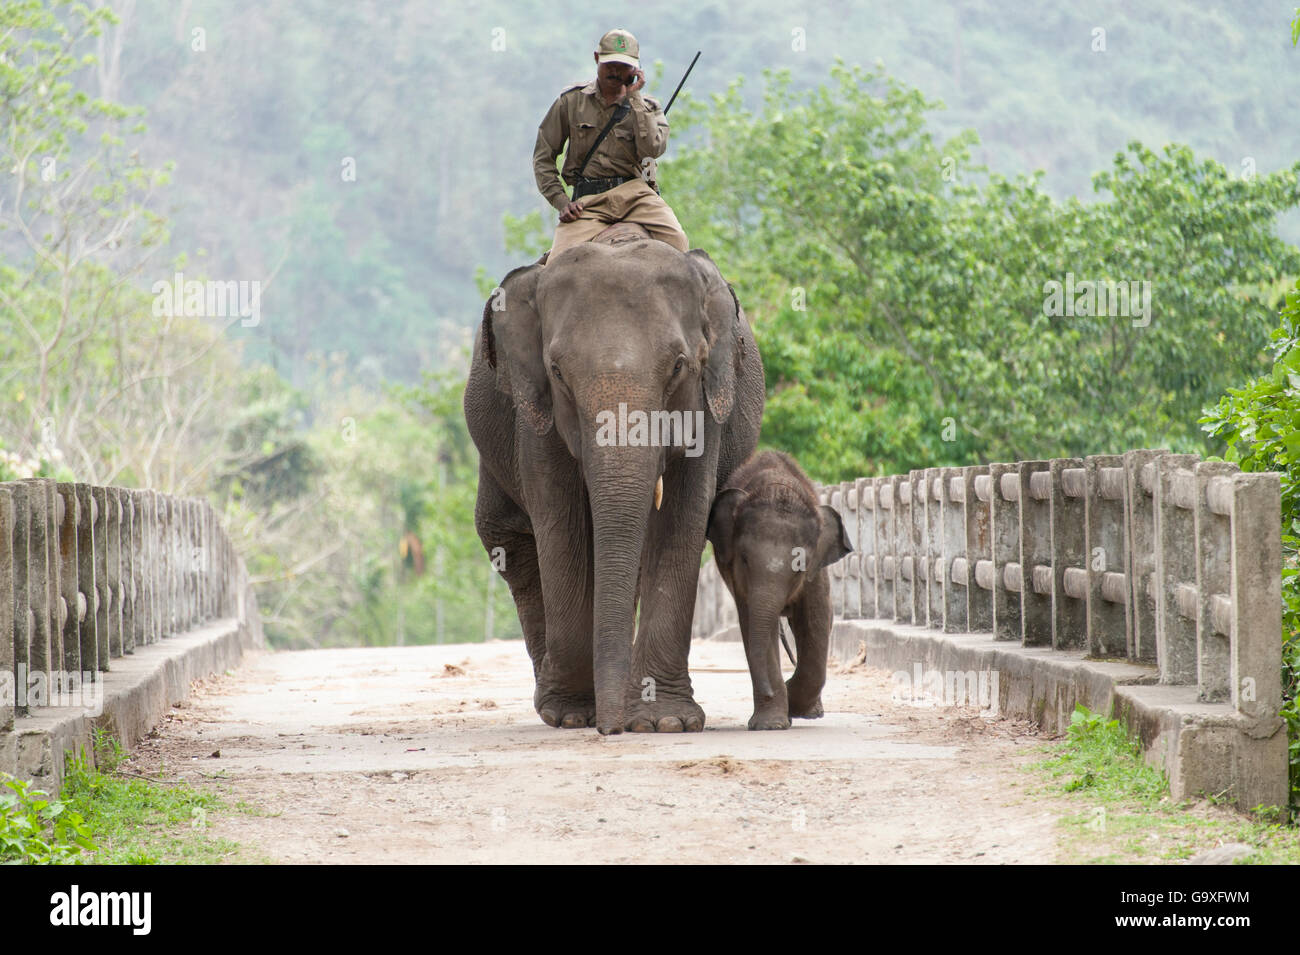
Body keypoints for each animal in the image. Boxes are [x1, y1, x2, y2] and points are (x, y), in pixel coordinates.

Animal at [464, 234, 764, 735]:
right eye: (558, 372)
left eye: (678, 366)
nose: (610, 729)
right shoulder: (535, 413)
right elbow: (561, 526)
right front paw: (572, 715)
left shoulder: (706, 403)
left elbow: (681, 518)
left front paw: (665, 722)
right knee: (512, 545)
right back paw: (556, 702)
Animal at [705, 450, 852, 729]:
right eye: (744, 560)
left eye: (799, 566)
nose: (770, 690)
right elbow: (754, 623)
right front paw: (772, 724)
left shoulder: (815, 571)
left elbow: (815, 621)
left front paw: (795, 707)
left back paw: (811, 711)